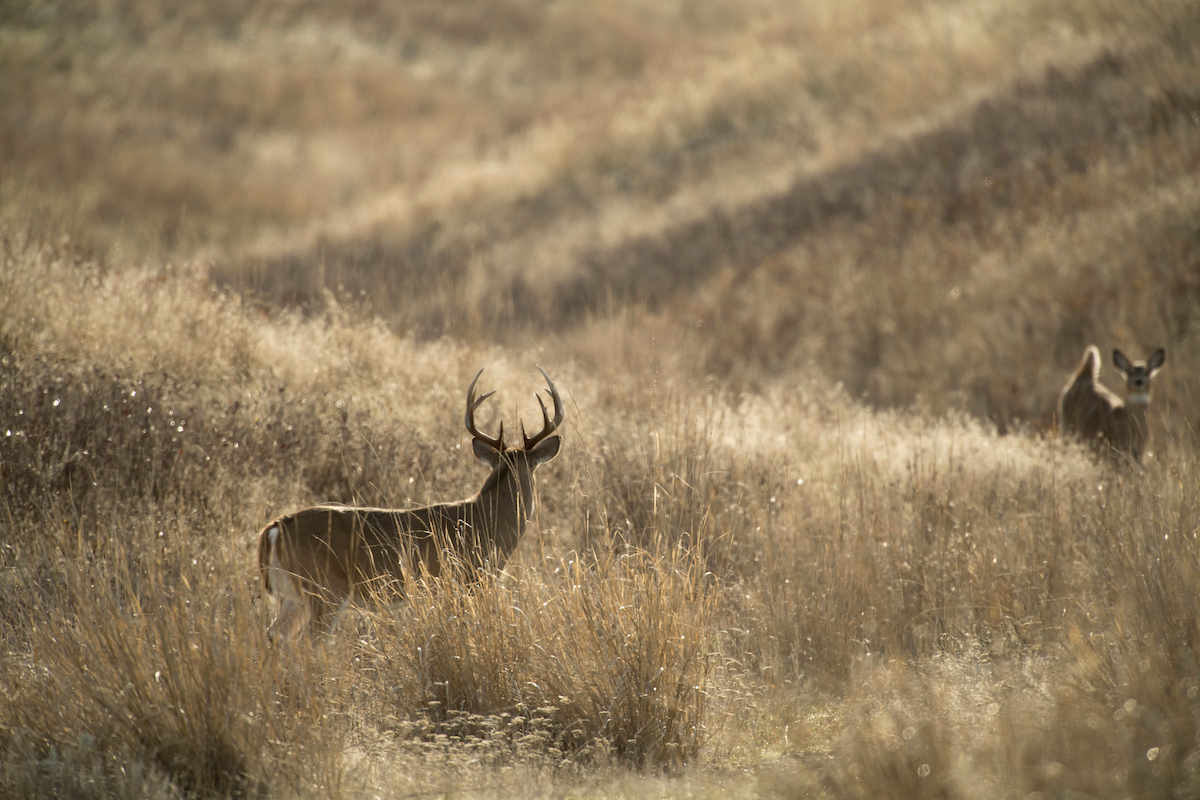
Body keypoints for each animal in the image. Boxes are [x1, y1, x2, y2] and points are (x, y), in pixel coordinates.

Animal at [258, 367, 564, 642]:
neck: (486, 521)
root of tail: (276, 527)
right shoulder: (464, 582)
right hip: (325, 589)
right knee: (307, 642)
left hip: (294, 596)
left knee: (274, 635)